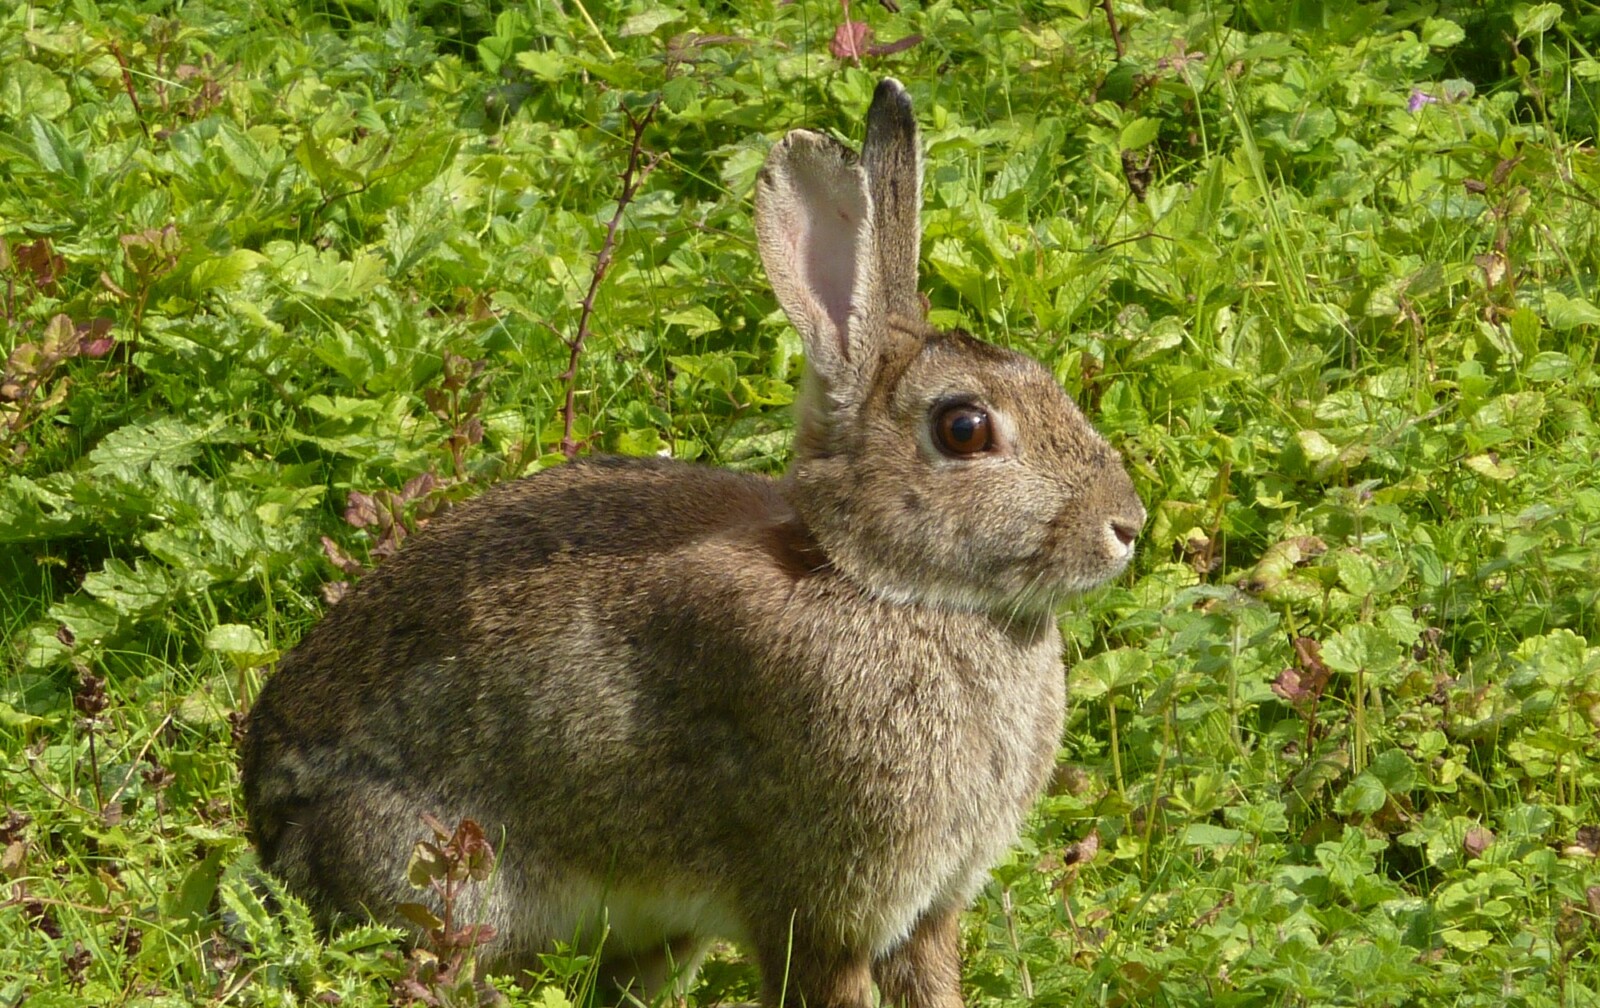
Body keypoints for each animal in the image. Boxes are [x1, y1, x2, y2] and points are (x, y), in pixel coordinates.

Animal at [241, 77, 1146, 1008]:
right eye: (964, 429)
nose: (1127, 526)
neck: (881, 584)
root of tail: (270, 821)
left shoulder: (928, 910)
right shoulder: (820, 904)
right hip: (447, 879)